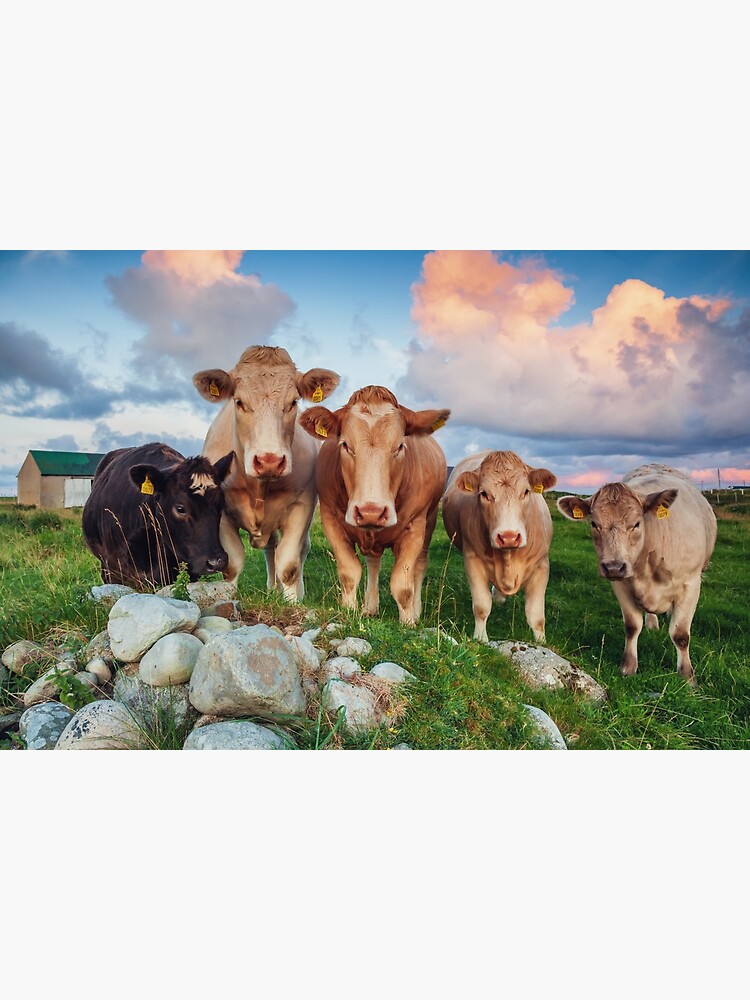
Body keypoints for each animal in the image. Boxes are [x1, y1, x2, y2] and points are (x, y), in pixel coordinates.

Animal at [193, 345, 340, 599]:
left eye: (293, 402)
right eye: (239, 402)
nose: (269, 460)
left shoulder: (302, 505)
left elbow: (289, 564)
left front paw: (293, 602)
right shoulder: (220, 512)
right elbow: (232, 563)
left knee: (300, 549)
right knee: (270, 547)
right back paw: (272, 589)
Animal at [298, 385, 450, 625]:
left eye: (400, 446)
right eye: (345, 444)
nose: (371, 512)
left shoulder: (415, 527)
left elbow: (403, 584)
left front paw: (408, 622)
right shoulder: (331, 519)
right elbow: (349, 572)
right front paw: (349, 611)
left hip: (432, 517)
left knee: (420, 565)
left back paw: (416, 611)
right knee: (373, 561)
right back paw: (370, 607)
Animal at [442, 450, 557, 644]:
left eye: (526, 491)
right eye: (484, 493)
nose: (508, 536)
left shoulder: (542, 567)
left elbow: (536, 616)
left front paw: (541, 642)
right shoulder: (473, 561)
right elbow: (481, 606)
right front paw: (480, 638)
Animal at [557, 463, 717, 685]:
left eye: (637, 524)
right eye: (594, 524)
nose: (613, 567)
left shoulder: (691, 584)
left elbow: (681, 634)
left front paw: (687, 676)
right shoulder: (621, 584)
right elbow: (632, 626)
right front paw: (628, 667)